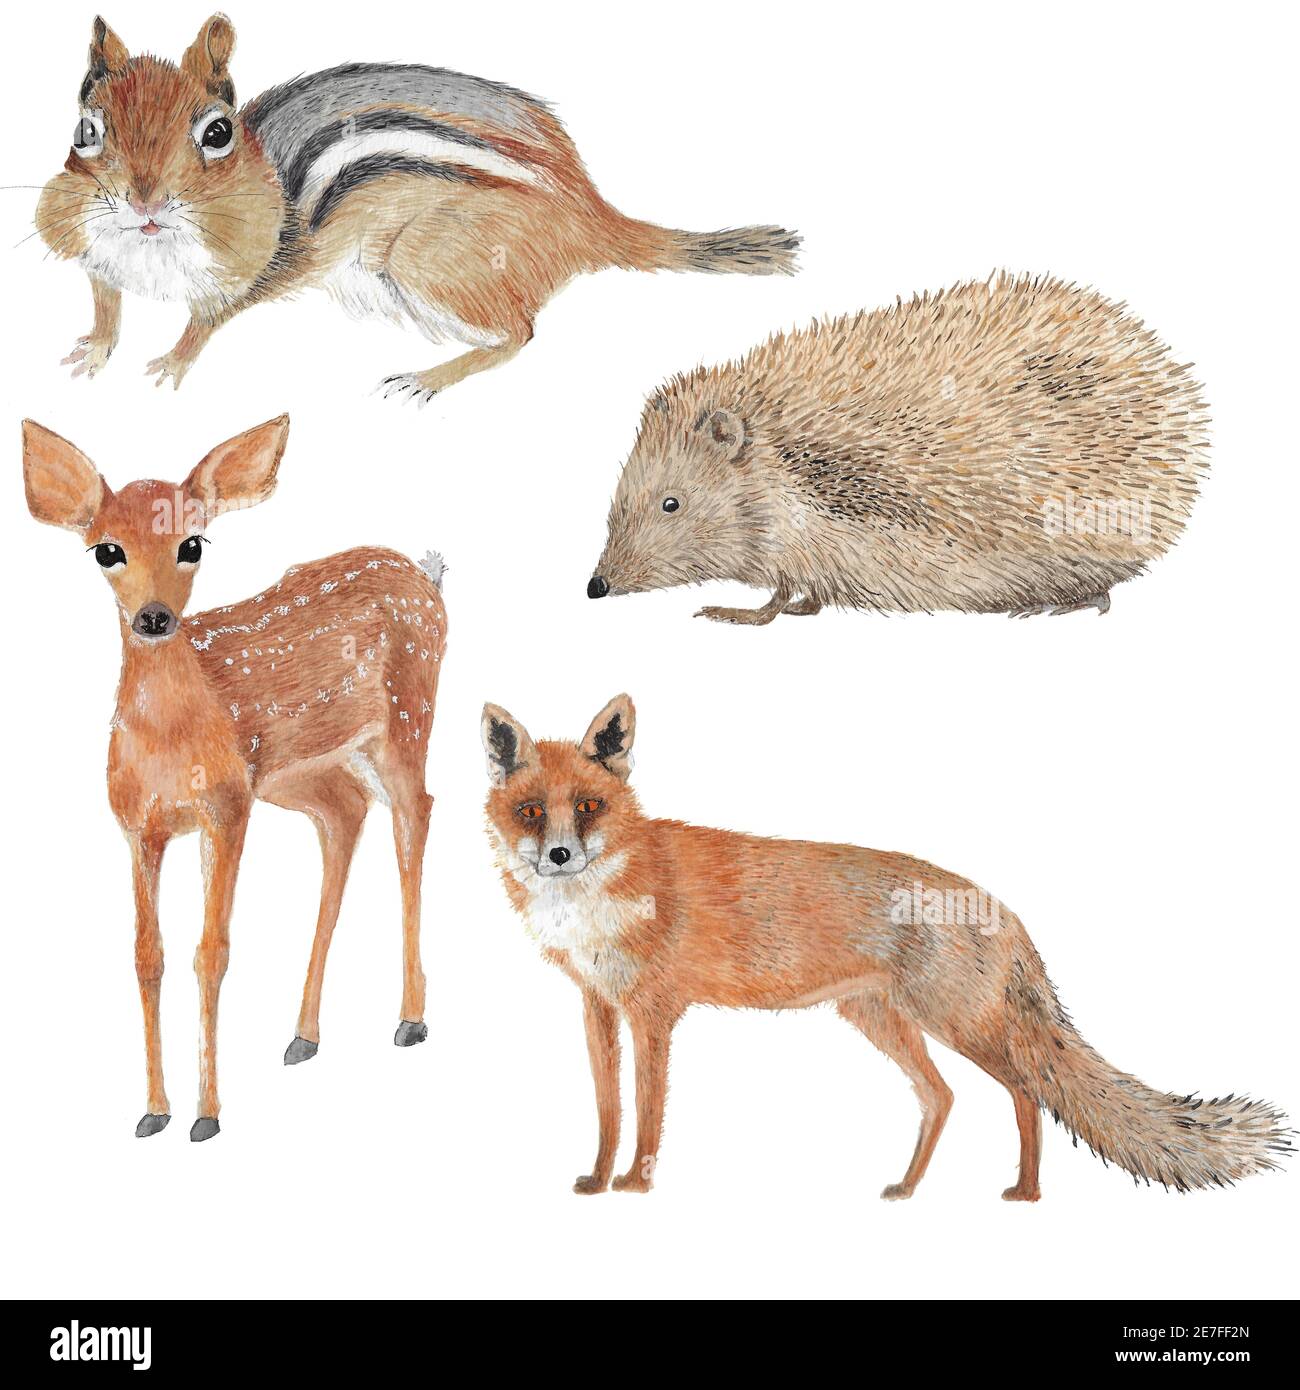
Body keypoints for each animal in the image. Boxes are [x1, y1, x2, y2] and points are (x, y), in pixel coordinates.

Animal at [22, 415, 448, 1140]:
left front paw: (207, 1117)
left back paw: (410, 1019)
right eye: (107, 550)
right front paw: (153, 1112)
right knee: (346, 815)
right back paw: (303, 1035)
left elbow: (211, 952)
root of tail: (428, 577)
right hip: (297, 770)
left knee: (414, 811)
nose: (155, 617)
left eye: (191, 542)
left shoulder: (225, 807)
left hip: (404, 718)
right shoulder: (139, 826)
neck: (168, 742)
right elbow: (148, 957)